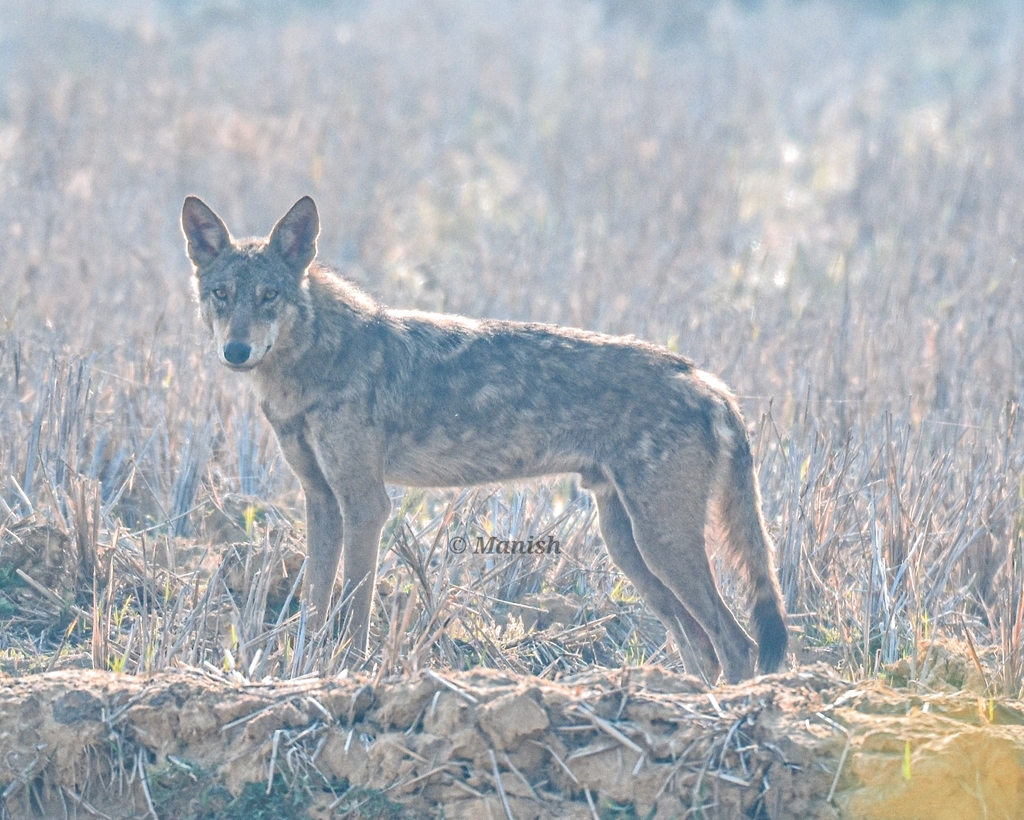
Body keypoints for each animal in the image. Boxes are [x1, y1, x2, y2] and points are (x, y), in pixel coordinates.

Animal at [181, 195, 788, 683]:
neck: (311, 364)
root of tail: (708, 381)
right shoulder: (322, 501)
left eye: (269, 296)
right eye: (221, 294)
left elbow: (354, 605)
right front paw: (305, 671)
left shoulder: (365, 503)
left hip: (660, 543)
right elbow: (314, 601)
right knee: (702, 647)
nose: (236, 350)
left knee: (737, 645)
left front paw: (346, 673)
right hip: (631, 548)